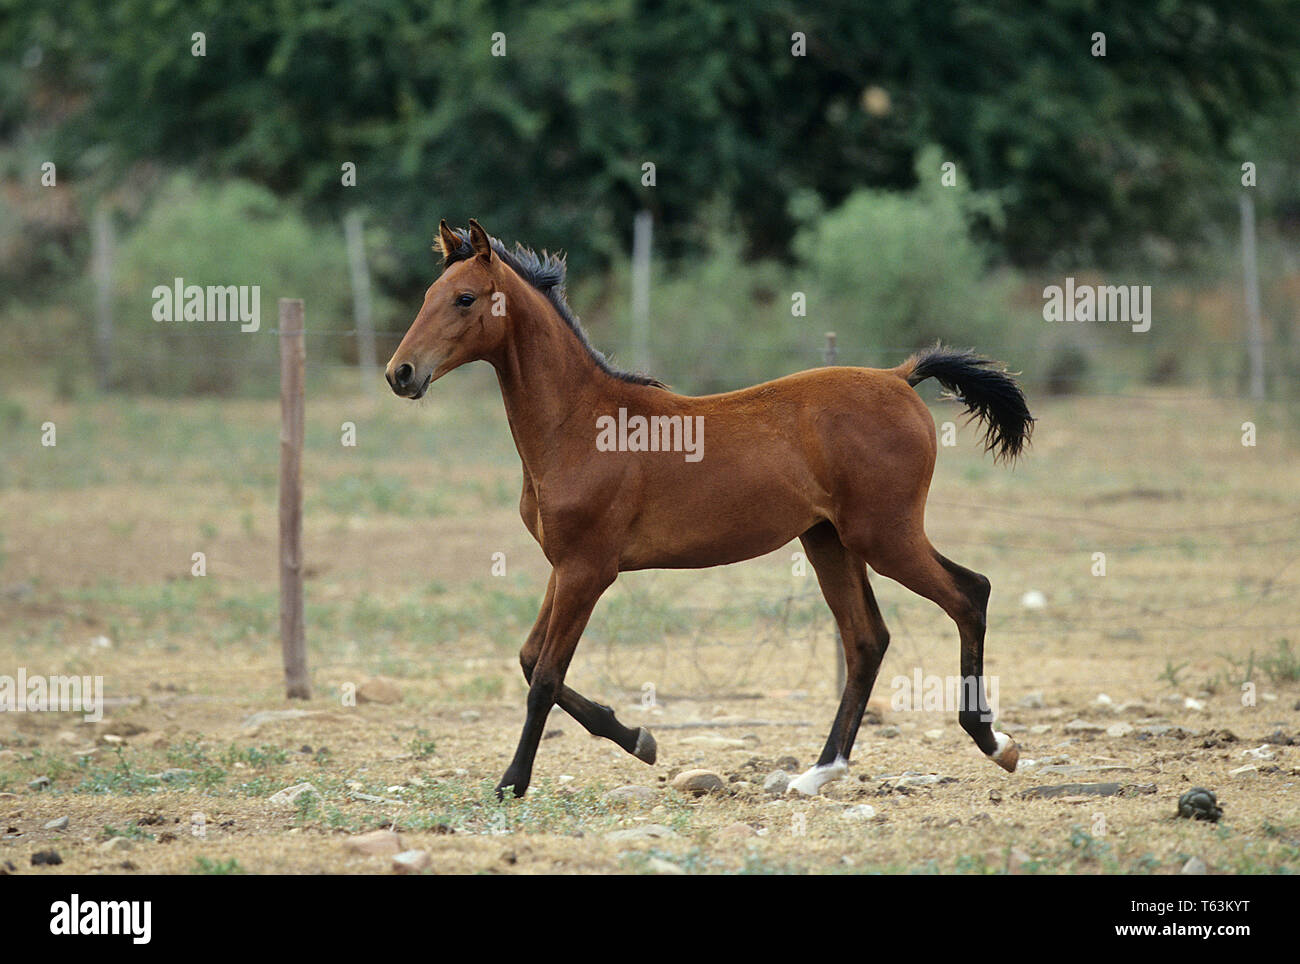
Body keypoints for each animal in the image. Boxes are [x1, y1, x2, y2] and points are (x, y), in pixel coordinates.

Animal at [386, 219, 1034, 799]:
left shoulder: (587, 569)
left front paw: (512, 782)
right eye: (427, 296)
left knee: (969, 594)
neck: (579, 424)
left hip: (884, 535)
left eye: (465, 298)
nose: (401, 373)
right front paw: (638, 738)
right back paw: (817, 774)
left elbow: (544, 676)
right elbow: (527, 658)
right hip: (828, 540)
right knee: (866, 641)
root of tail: (900, 377)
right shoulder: (563, 565)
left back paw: (995, 744)